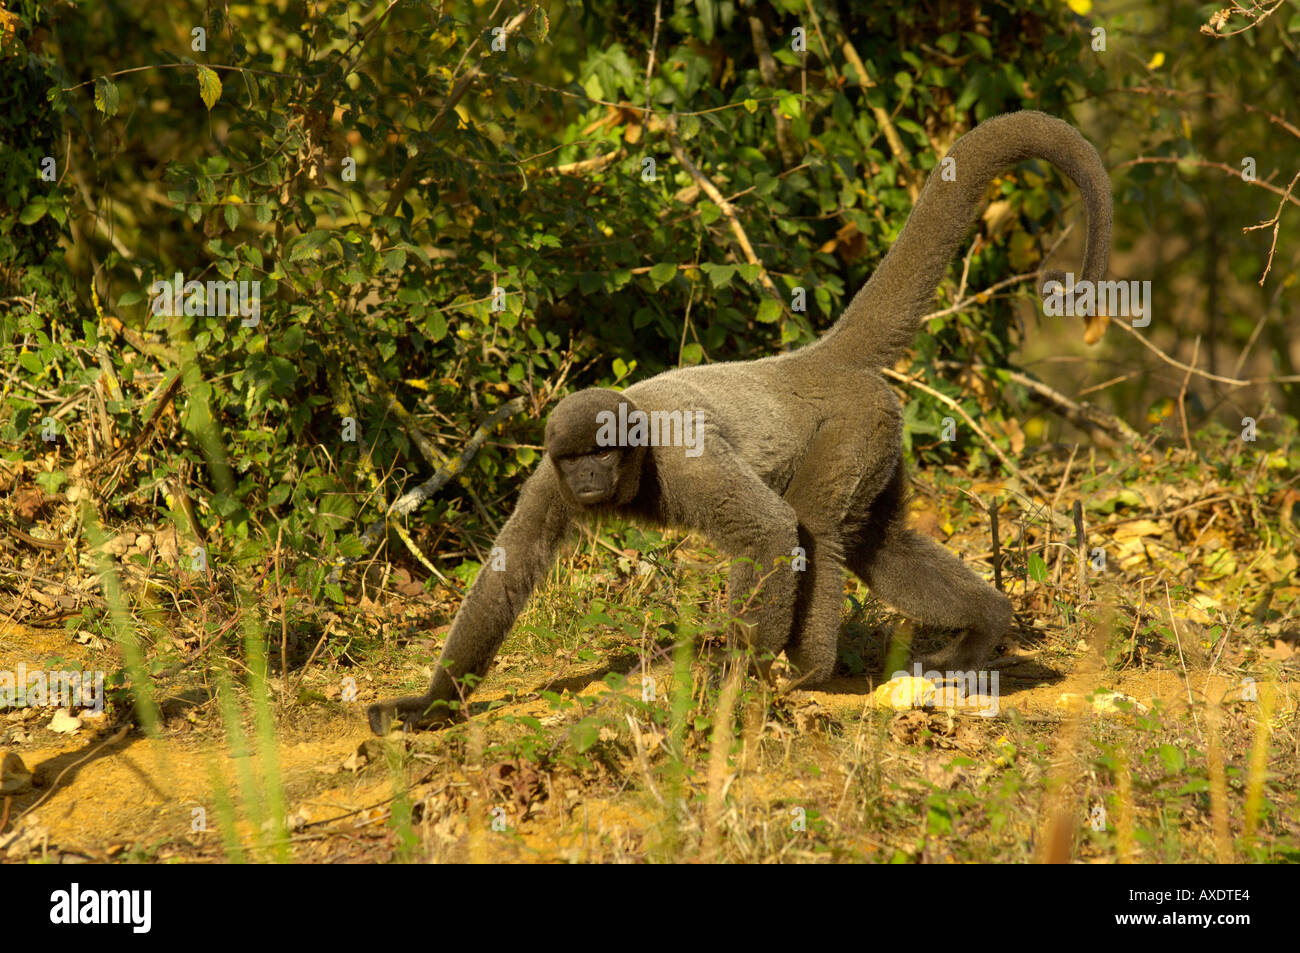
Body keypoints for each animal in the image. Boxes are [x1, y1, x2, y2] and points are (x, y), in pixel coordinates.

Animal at [368, 110, 1112, 734]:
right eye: (578, 459)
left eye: (603, 452)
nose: (589, 479)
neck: (636, 457)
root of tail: (809, 360)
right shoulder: (547, 478)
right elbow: (507, 571)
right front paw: (431, 705)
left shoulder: (680, 457)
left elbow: (769, 531)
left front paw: (738, 670)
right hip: (878, 435)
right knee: (880, 544)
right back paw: (983, 629)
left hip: (852, 428)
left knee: (815, 524)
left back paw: (809, 669)